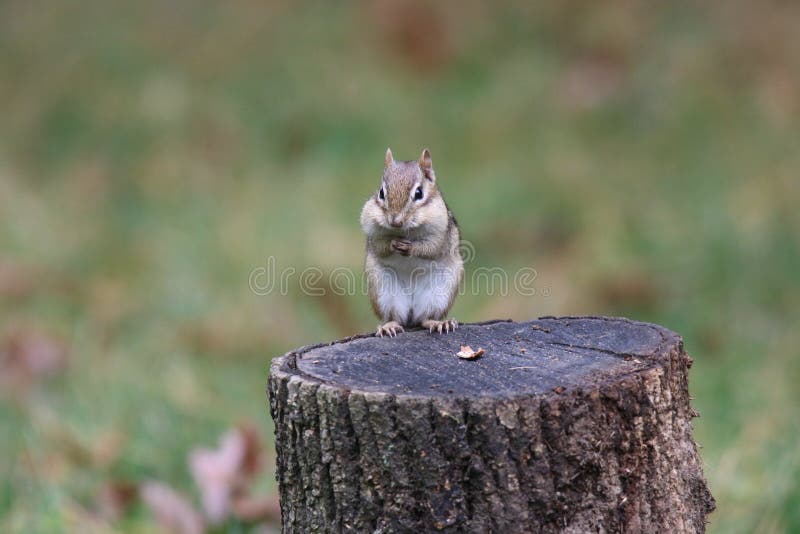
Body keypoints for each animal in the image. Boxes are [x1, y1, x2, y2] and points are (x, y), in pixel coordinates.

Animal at [360, 148, 464, 337]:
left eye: (419, 193)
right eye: (381, 193)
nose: (395, 221)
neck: (404, 232)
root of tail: (411, 314)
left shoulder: (440, 234)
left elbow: (432, 248)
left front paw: (411, 248)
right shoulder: (372, 232)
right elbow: (380, 247)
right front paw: (392, 243)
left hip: (441, 292)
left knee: (425, 318)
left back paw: (439, 323)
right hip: (384, 291)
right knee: (394, 317)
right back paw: (388, 326)